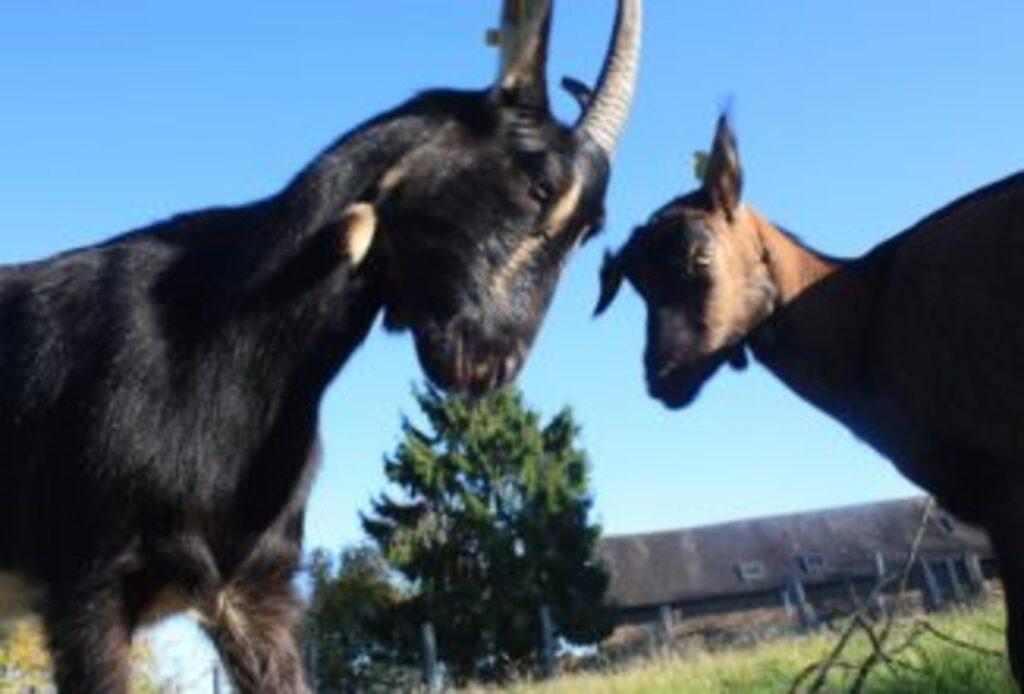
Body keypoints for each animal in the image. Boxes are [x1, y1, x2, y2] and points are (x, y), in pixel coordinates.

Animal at [0, 1, 641, 691]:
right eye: (539, 183)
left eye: (590, 232)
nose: (491, 362)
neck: (217, 337)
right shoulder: (87, 583)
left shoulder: (254, 587)